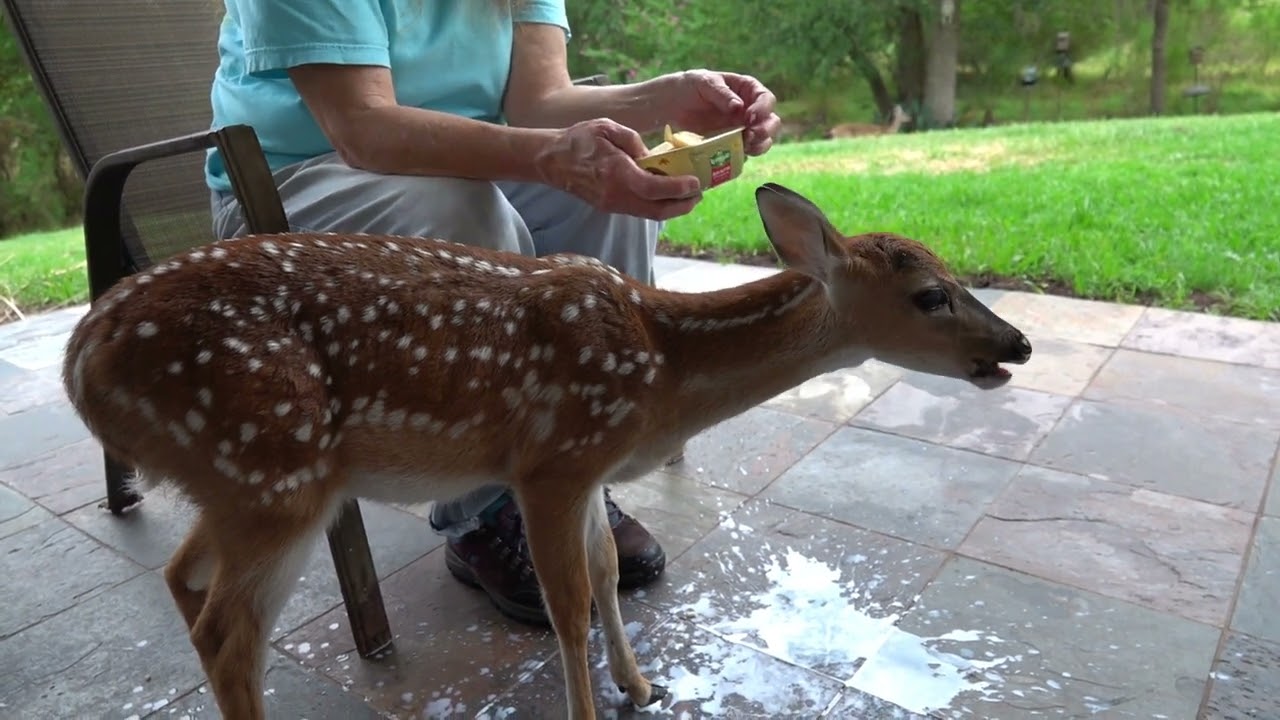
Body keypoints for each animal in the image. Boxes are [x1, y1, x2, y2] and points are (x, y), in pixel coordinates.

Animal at [60, 182, 1032, 720]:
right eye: (931, 294)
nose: (1018, 344)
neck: (659, 370)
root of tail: (81, 359)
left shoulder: (590, 471)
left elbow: (605, 575)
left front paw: (643, 689)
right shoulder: (552, 458)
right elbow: (565, 607)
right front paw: (597, 705)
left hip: (237, 480)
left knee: (182, 577)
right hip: (273, 464)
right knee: (228, 630)